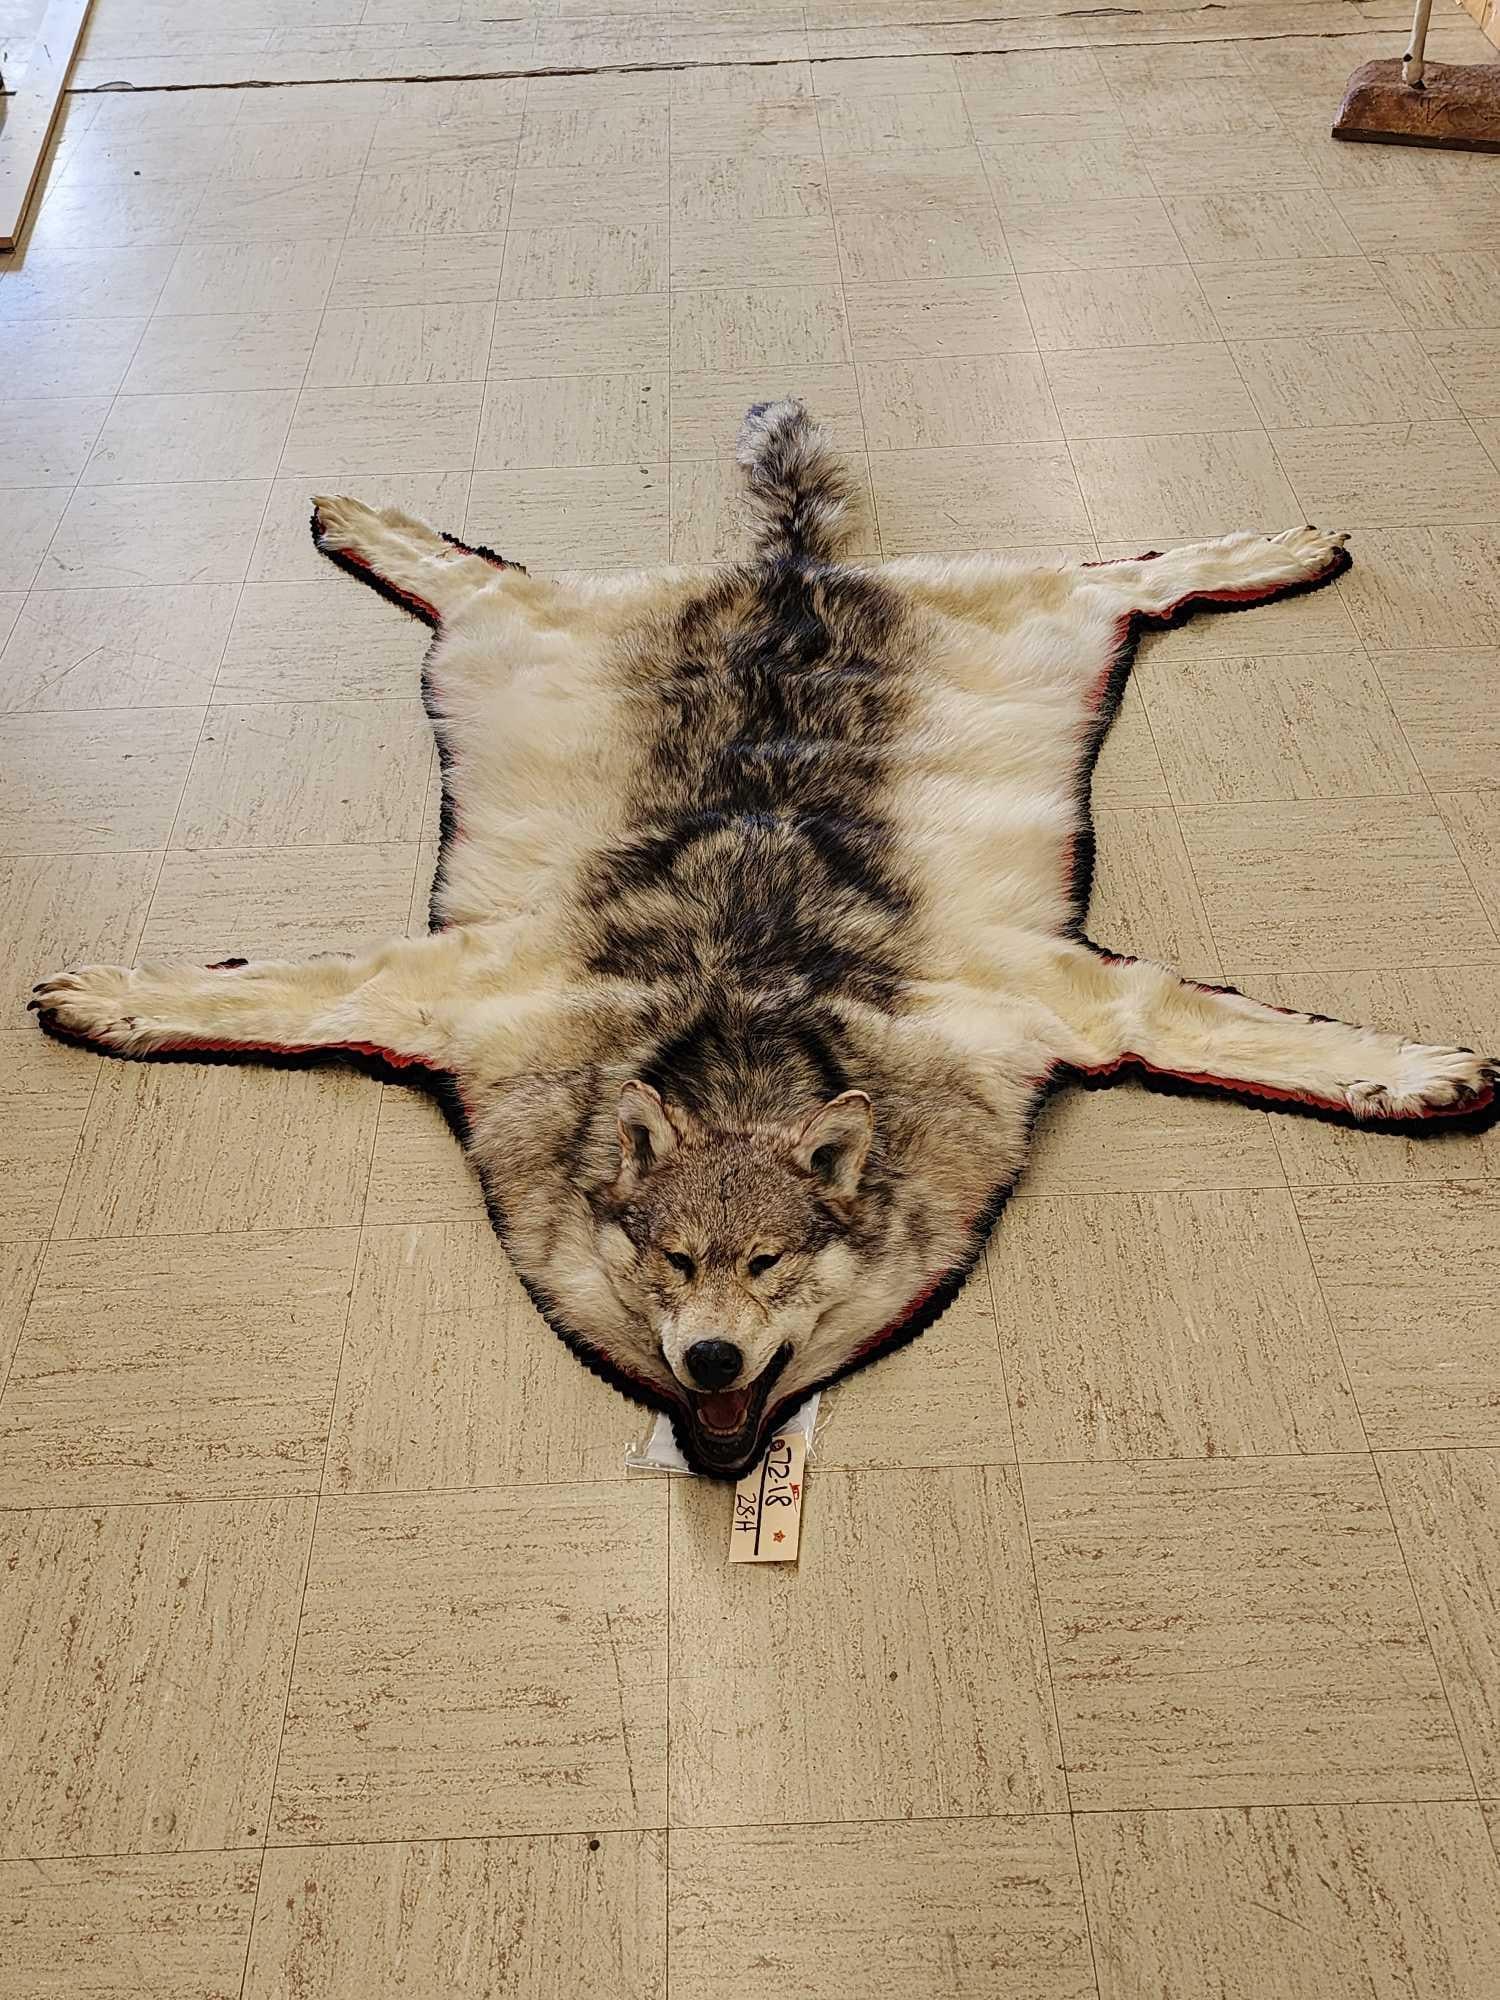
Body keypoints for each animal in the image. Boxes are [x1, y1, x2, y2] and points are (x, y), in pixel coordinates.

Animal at [33, 401, 1496, 1476]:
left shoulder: (1054, 1002)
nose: (712, 1368)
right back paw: (362, 521)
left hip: (1039, 622)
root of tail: (788, 571)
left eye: (770, 1264)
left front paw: (1421, 1075)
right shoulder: (451, 993)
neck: (739, 1039)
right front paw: (112, 997)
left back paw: (1280, 550)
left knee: (1130, 569)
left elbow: (1249, 1037)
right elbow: (268, 994)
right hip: (522, 637)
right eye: (671, 1261)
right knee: (470, 570)